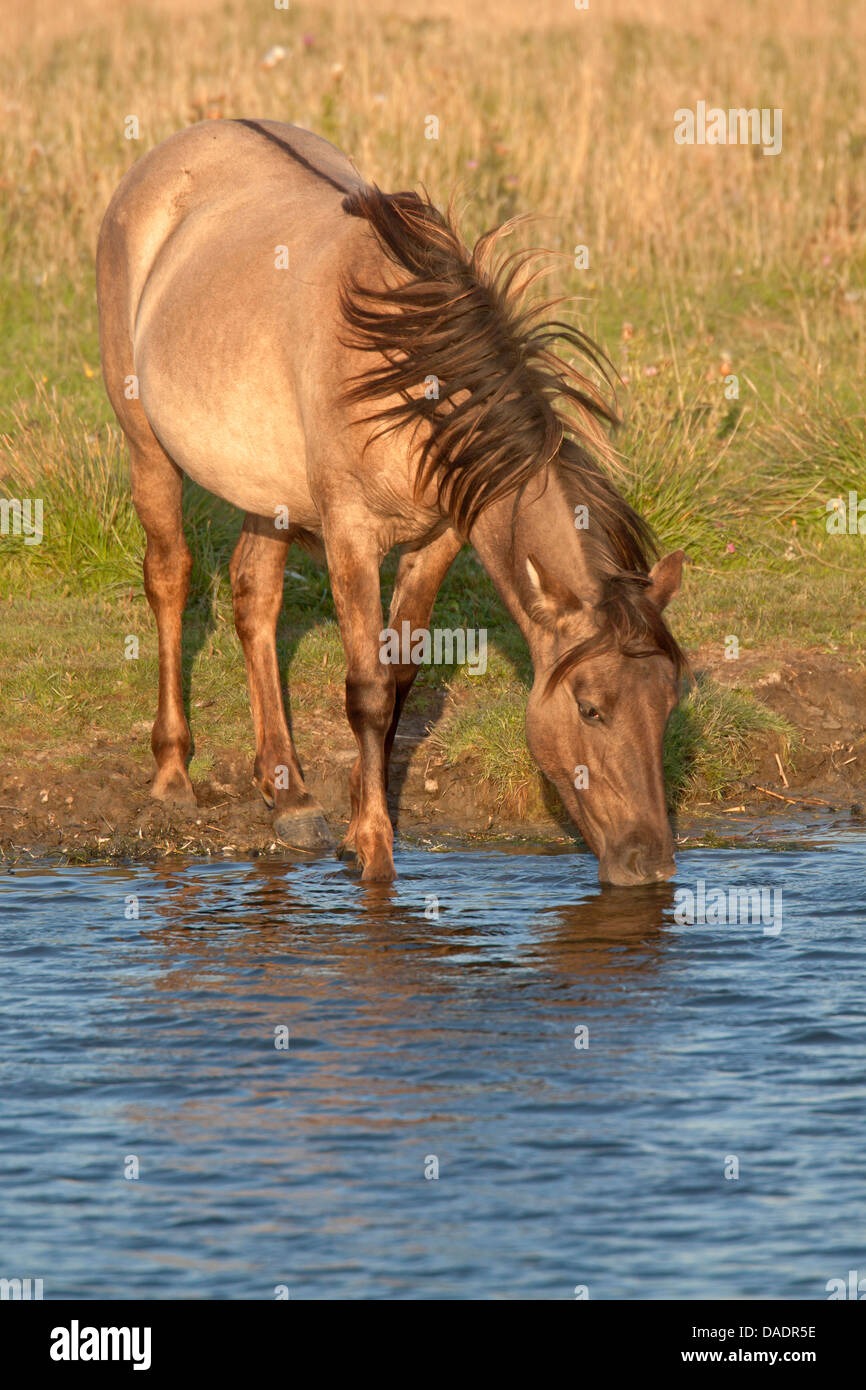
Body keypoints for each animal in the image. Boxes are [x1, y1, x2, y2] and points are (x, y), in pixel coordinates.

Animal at [96, 119, 686, 886]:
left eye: (668, 703)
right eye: (591, 709)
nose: (650, 864)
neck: (410, 368)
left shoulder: (440, 538)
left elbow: (400, 677)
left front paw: (354, 815)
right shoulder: (350, 533)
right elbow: (368, 691)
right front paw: (374, 852)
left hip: (265, 487)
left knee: (254, 595)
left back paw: (288, 794)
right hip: (148, 449)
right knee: (170, 577)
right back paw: (171, 776)